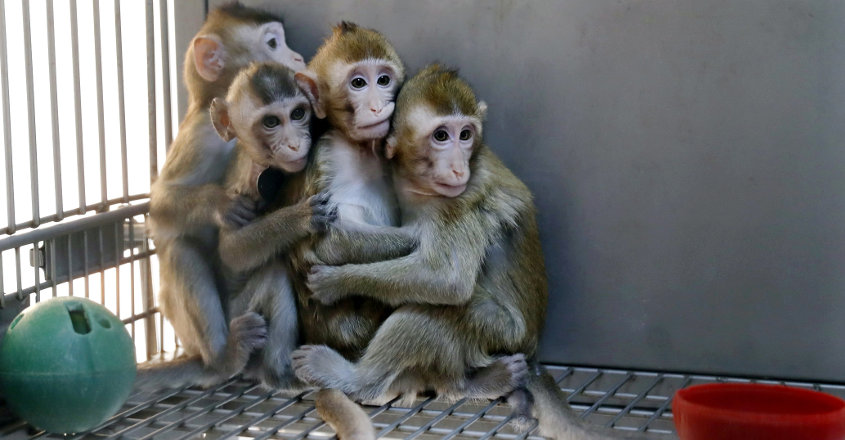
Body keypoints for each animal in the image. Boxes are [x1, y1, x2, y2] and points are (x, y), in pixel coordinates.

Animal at [140, 3, 308, 389]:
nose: (298, 56)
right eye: (273, 43)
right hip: (213, 326)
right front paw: (221, 205)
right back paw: (222, 358)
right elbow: (160, 206)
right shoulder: (202, 136)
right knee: (181, 250)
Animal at [292, 65, 650, 440]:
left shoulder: (460, 202)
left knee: (435, 311)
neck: (418, 186)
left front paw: (337, 281)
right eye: (441, 136)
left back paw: (357, 379)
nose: (458, 167)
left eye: (465, 135)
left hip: (502, 332)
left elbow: (447, 281)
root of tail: (531, 347)